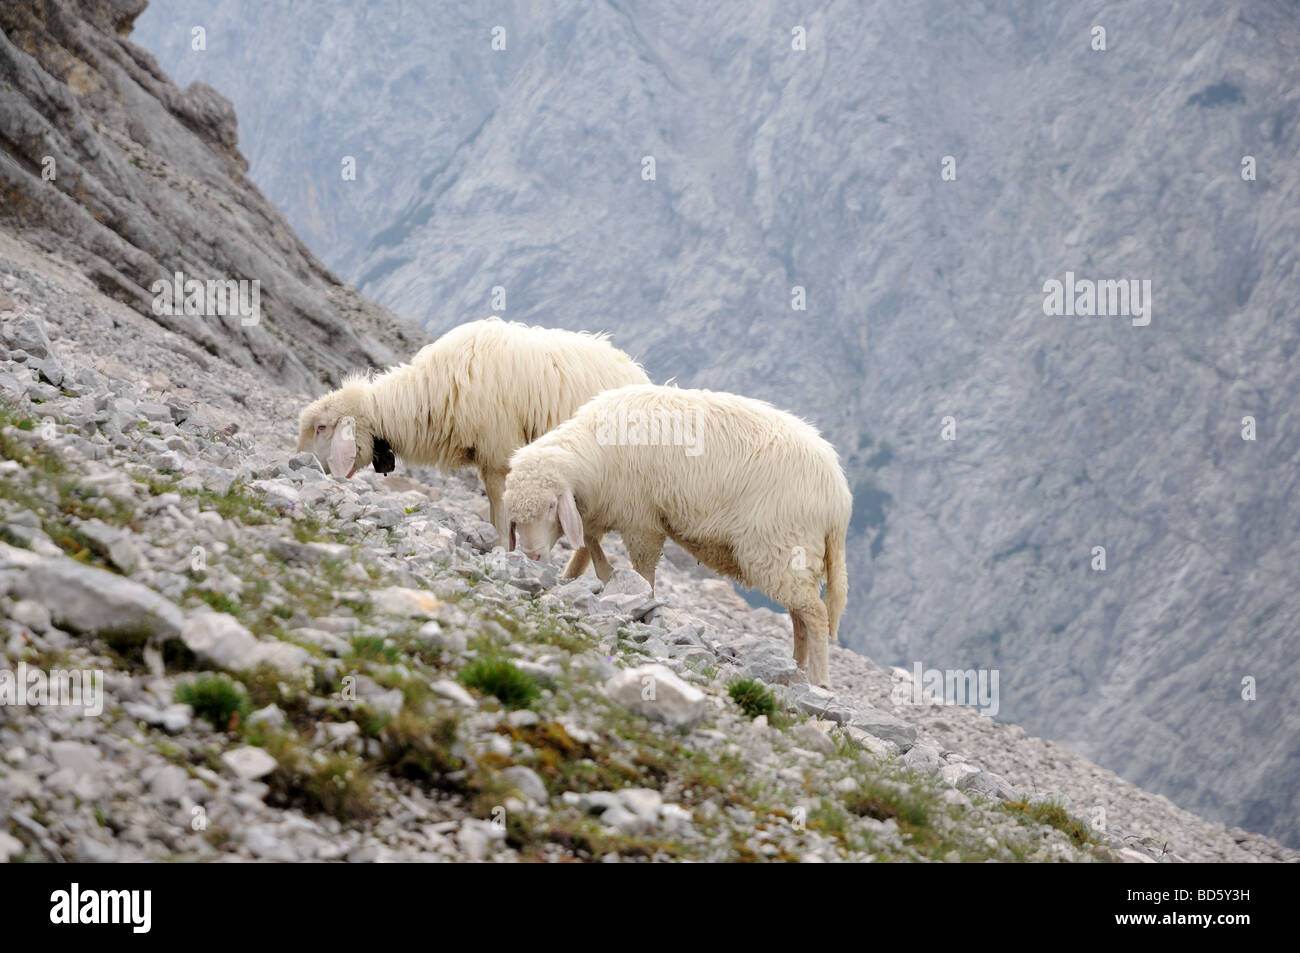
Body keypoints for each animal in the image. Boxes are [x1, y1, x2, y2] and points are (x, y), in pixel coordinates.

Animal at [297, 317, 650, 546]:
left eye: (322, 427)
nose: (301, 463)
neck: (426, 393)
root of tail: (634, 368)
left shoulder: (500, 456)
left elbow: (503, 517)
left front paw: (506, 552)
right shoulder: (487, 460)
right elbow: (496, 515)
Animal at [504, 384, 852, 686]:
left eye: (551, 505)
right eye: (516, 517)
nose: (531, 556)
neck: (595, 452)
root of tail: (838, 496)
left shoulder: (641, 522)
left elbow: (641, 570)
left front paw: (640, 602)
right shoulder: (603, 508)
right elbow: (589, 541)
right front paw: (587, 575)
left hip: (779, 547)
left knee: (815, 614)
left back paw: (820, 680)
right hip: (791, 557)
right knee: (799, 617)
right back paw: (796, 668)